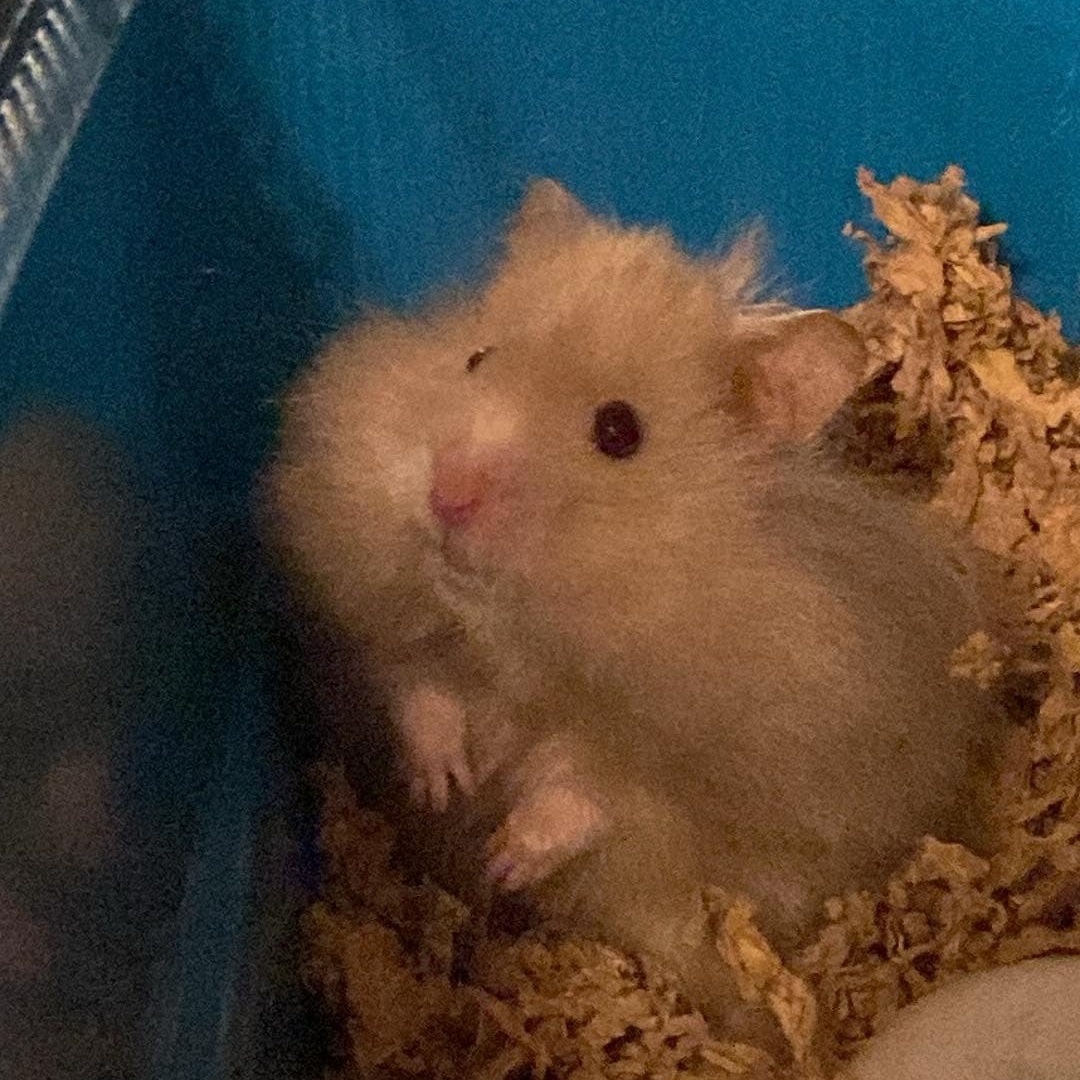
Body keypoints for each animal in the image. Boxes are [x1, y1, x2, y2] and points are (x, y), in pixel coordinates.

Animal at [267, 180, 1011, 1048]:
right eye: (477, 358)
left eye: (618, 431)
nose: (446, 494)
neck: (527, 629)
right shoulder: (380, 614)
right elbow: (415, 682)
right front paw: (442, 785)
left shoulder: (714, 757)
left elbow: (594, 791)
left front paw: (505, 853)